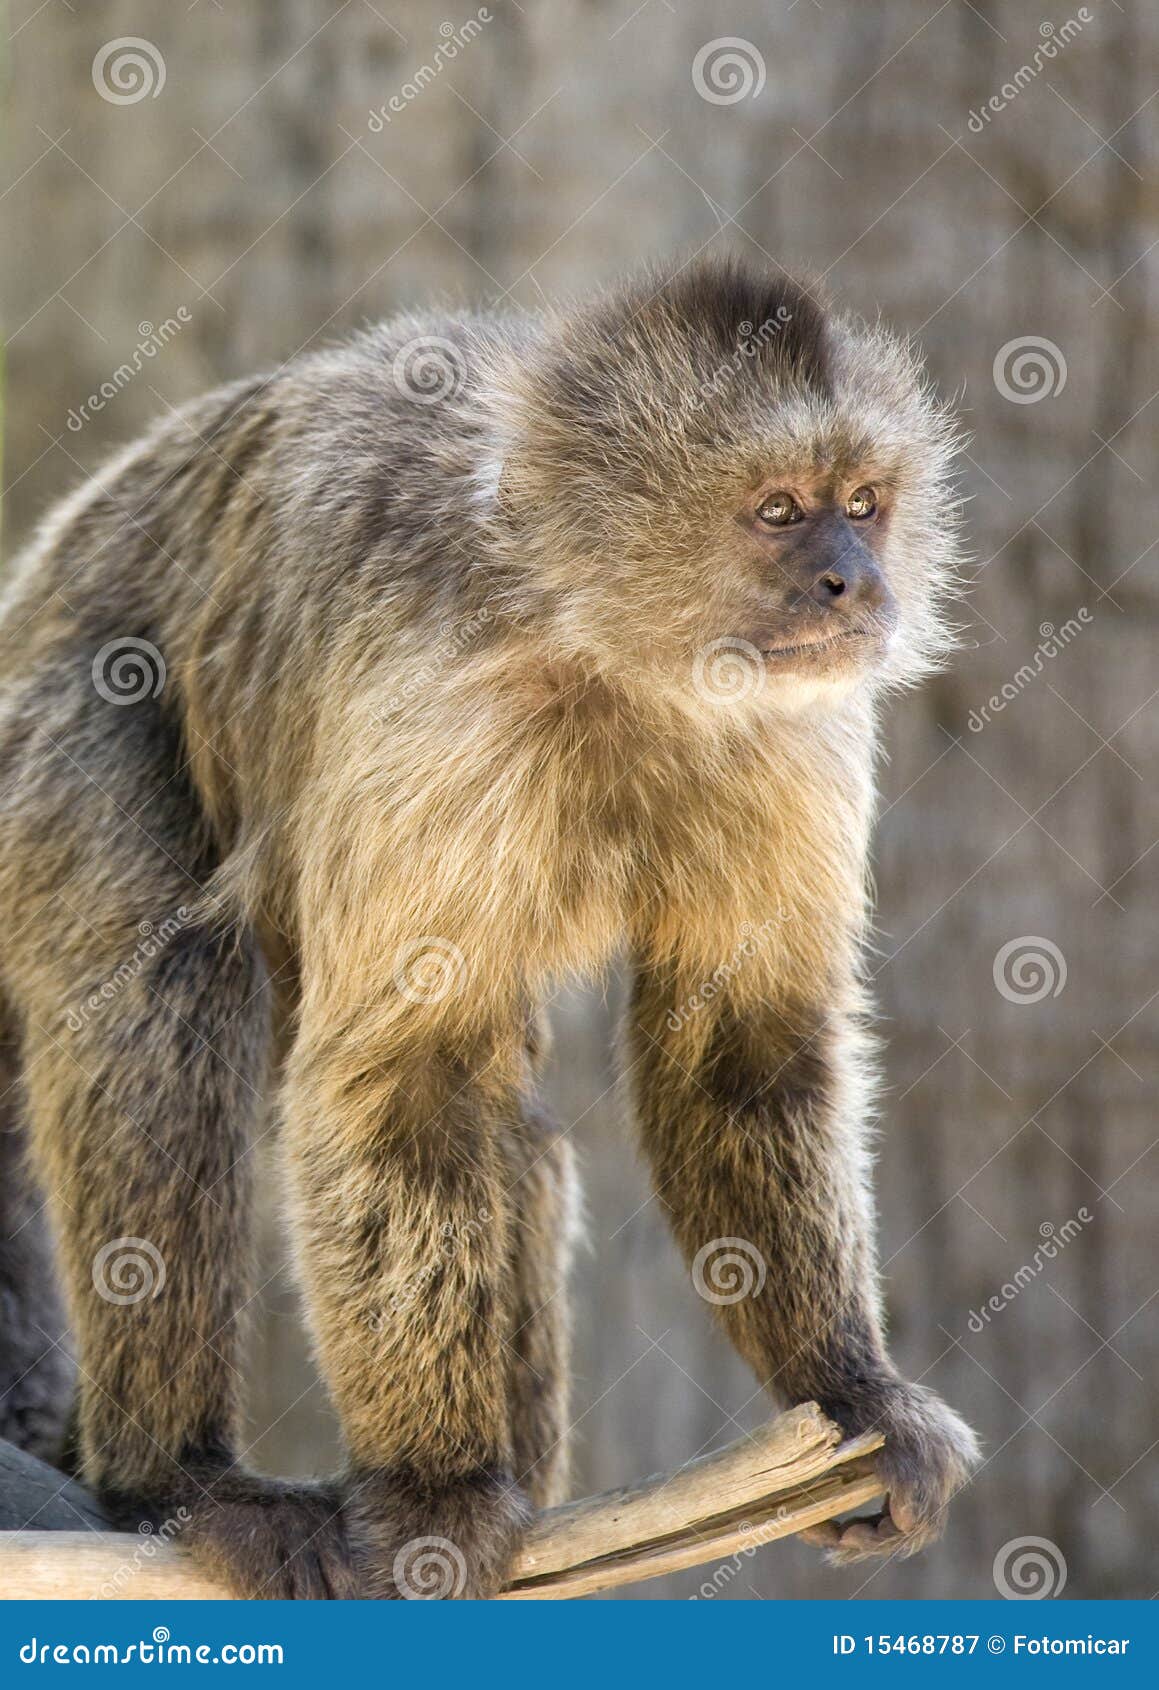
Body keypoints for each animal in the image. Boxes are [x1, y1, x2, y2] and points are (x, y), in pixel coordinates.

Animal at [0, 252, 978, 1598]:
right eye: (779, 511)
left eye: (865, 504)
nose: (856, 581)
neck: (608, 650)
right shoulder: (440, 709)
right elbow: (400, 1075)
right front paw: (437, 1488)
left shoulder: (792, 729)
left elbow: (741, 1046)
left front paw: (849, 1388)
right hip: (56, 726)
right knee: (162, 999)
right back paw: (174, 1479)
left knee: (512, 1115)